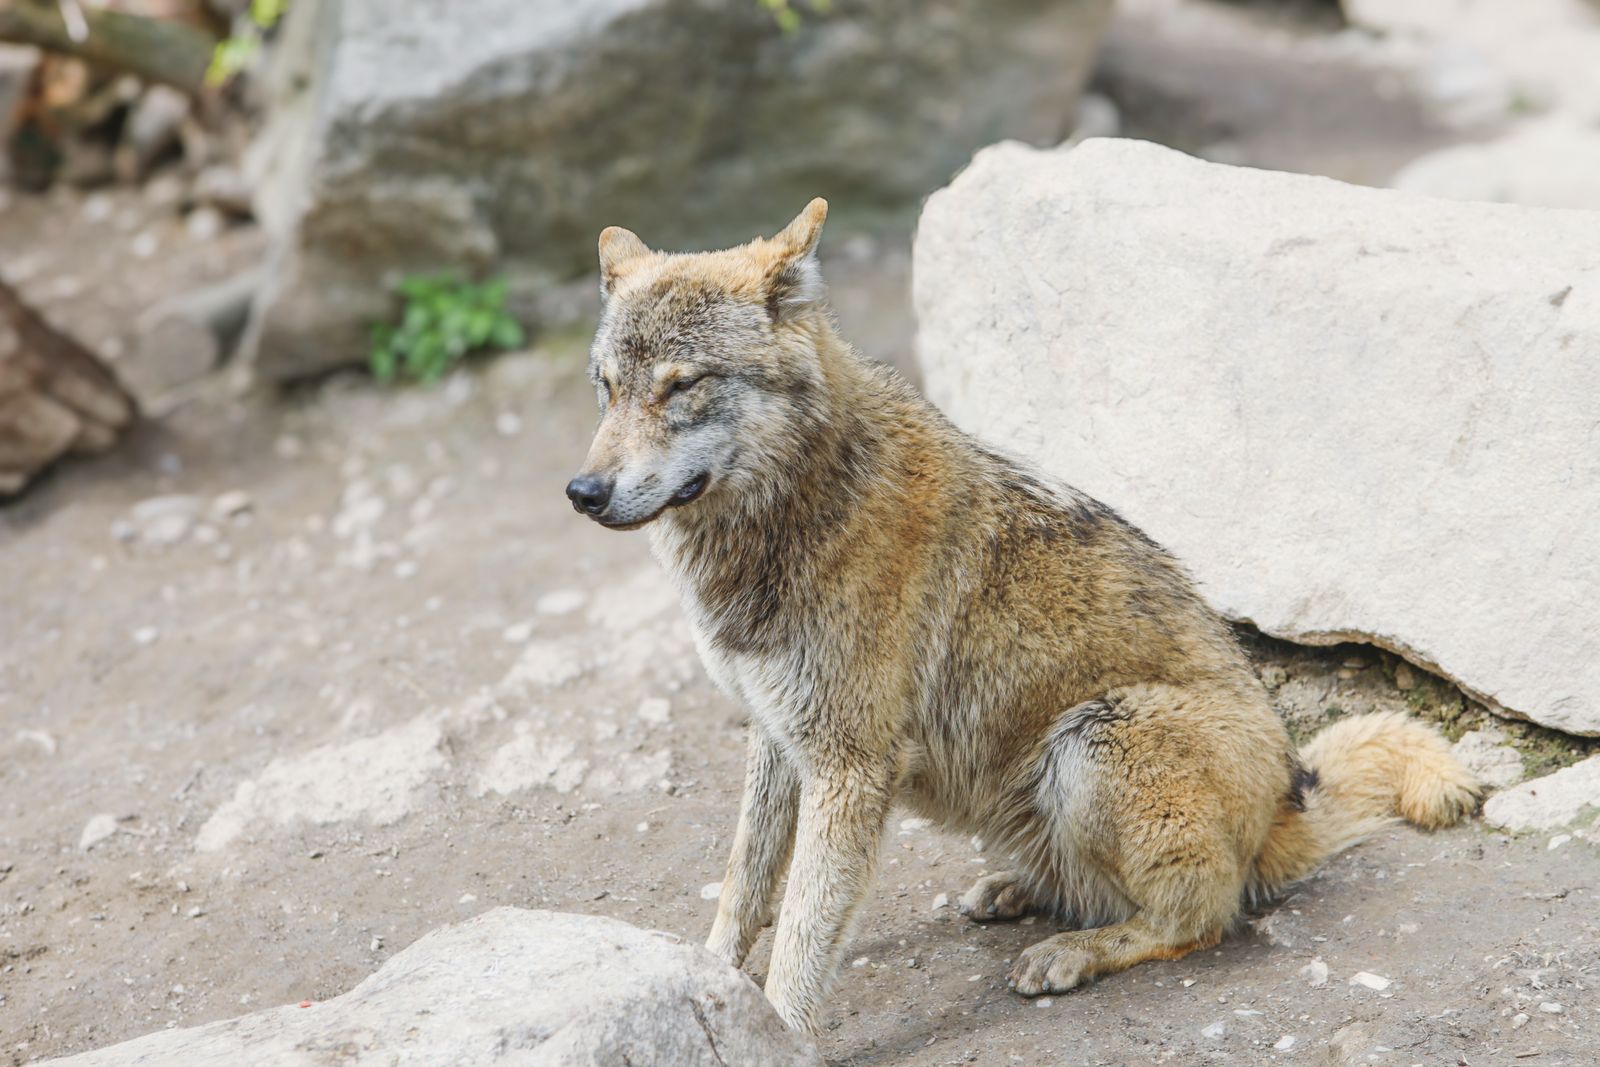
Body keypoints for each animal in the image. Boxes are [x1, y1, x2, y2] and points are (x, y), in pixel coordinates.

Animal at [565, 199, 1482, 1032]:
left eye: (682, 385)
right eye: (606, 390)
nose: (583, 492)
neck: (799, 507)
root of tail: (1287, 808)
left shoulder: (848, 766)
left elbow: (799, 935)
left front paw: (779, 1028)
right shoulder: (776, 738)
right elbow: (743, 892)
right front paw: (707, 981)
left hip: (1092, 743)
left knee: (1201, 918)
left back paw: (1071, 951)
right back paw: (1019, 892)